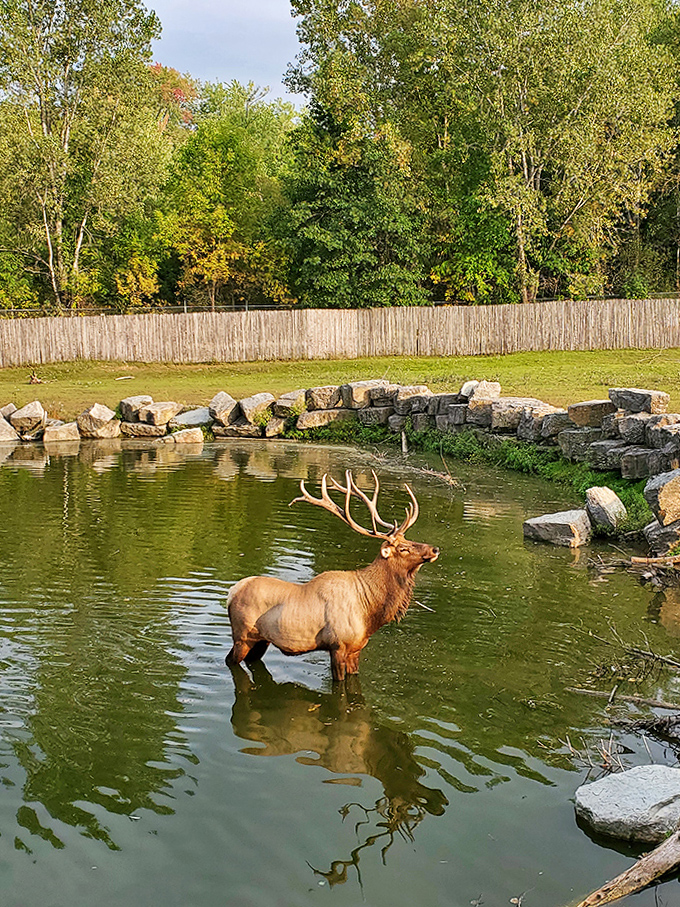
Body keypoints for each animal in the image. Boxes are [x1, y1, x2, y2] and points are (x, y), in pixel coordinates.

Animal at [225, 470, 439, 681]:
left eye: (408, 539)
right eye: (403, 548)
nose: (435, 549)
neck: (370, 611)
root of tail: (232, 592)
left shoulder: (356, 648)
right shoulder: (338, 645)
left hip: (262, 641)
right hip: (243, 636)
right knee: (230, 661)